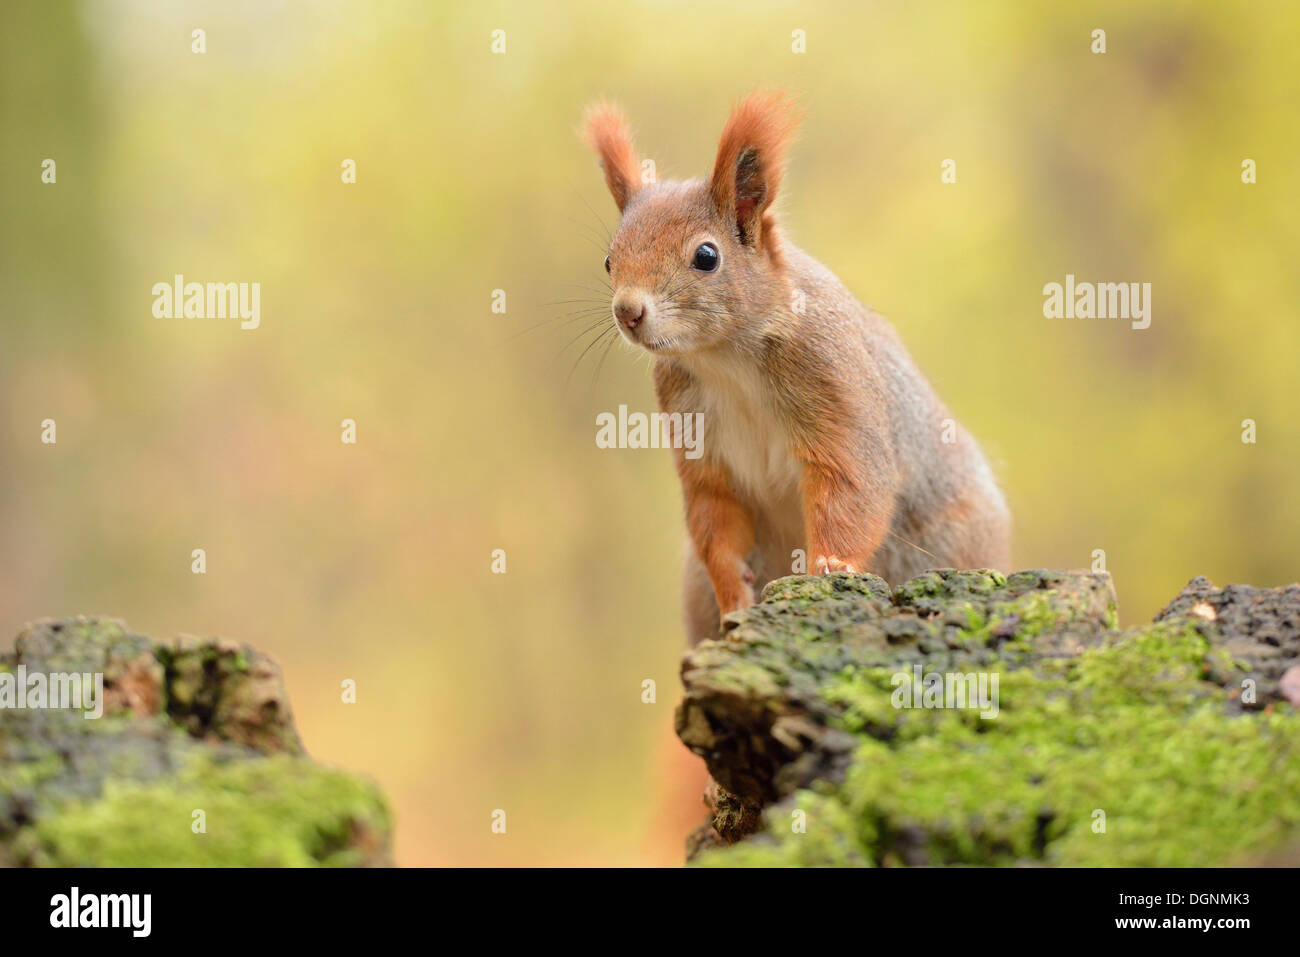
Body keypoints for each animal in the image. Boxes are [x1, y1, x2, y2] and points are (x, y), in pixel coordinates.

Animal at [583, 91, 1010, 644]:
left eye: (706, 256)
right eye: (609, 261)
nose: (628, 311)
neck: (725, 357)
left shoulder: (831, 377)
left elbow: (854, 482)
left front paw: (830, 567)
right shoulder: (695, 433)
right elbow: (715, 522)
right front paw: (734, 595)